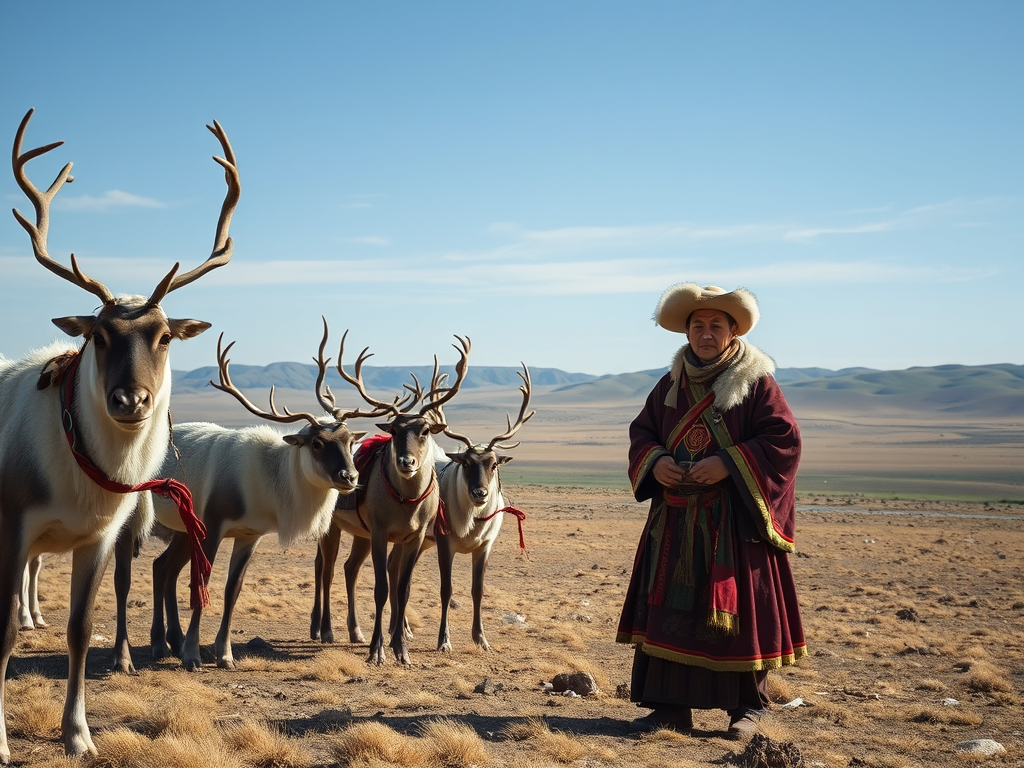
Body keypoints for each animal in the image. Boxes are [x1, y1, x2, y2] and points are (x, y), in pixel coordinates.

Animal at [0, 109, 239, 763]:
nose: (130, 400)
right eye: (99, 335)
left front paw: (78, 735)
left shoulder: (100, 537)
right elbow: (3, 633)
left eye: (164, 335)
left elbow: (81, 630)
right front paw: (0, 743)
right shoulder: (12, 527)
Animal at [137, 321, 402, 672]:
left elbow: (232, 589)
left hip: (183, 530)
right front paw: (194, 655)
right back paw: (160, 644)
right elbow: (202, 583)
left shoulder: (250, 535)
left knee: (163, 568)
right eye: (316, 443)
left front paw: (224, 654)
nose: (350, 477)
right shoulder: (213, 527)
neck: (271, 473)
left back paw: (171, 642)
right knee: (158, 568)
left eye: (349, 440)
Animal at [309, 333, 470, 664]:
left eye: (424, 430)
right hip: (334, 528)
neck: (406, 503)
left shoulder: (414, 537)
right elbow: (382, 589)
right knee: (325, 570)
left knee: (348, 568)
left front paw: (402, 649)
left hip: (361, 534)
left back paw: (353, 631)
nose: (406, 462)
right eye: (394, 430)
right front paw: (377, 651)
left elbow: (402, 588)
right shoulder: (381, 532)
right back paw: (325, 629)